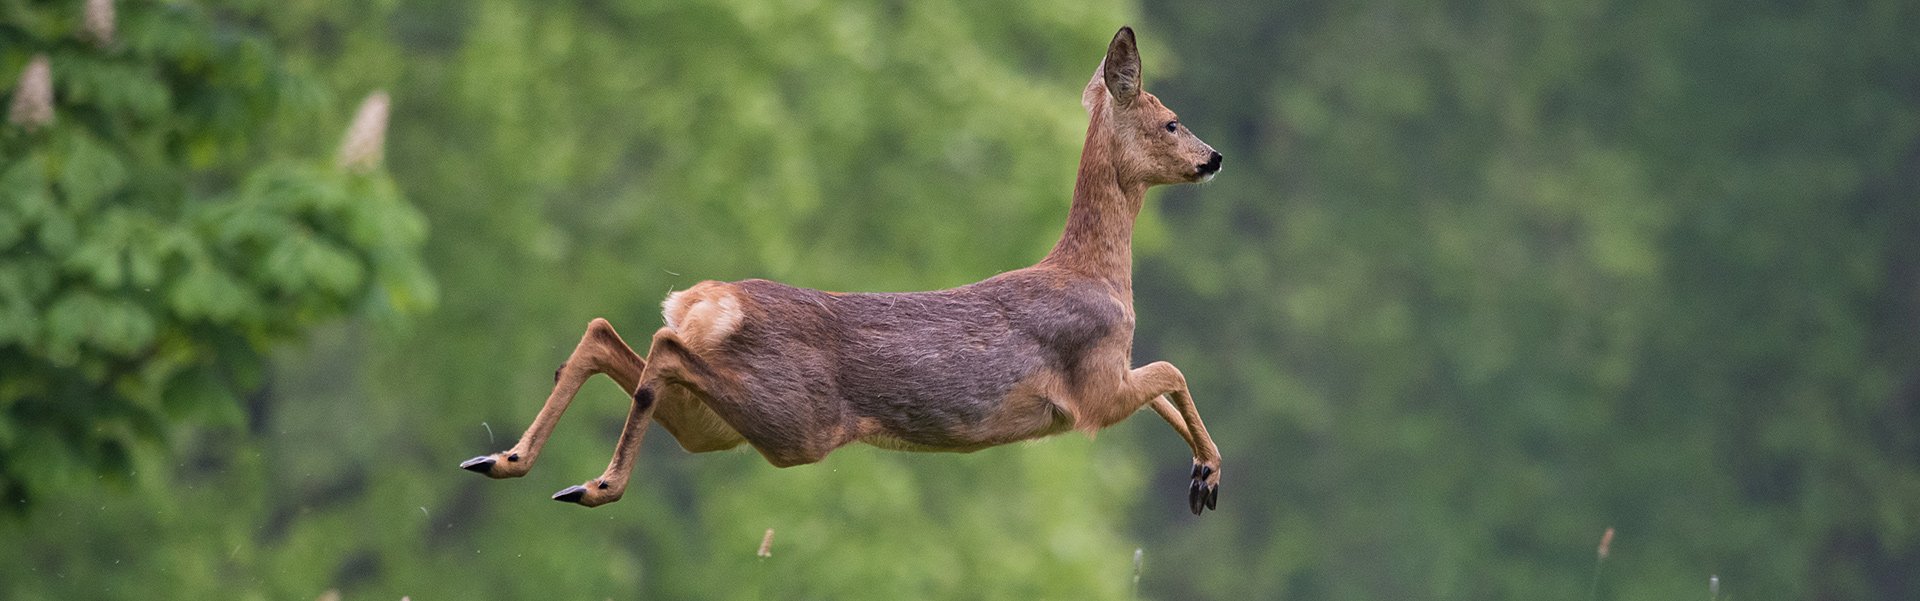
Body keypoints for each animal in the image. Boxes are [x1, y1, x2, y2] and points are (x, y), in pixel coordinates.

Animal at [460, 26, 1226, 515]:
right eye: (1171, 122)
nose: (1212, 157)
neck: (1098, 274)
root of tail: (710, 302)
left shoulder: (1107, 383)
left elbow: (1163, 385)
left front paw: (1201, 472)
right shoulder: (1092, 388)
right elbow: (1171, 371)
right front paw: (1209, 475)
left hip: (723, 426)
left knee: (607, 334)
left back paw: (507, 462)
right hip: (794, 417)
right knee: (663, 347)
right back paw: (594, 485)